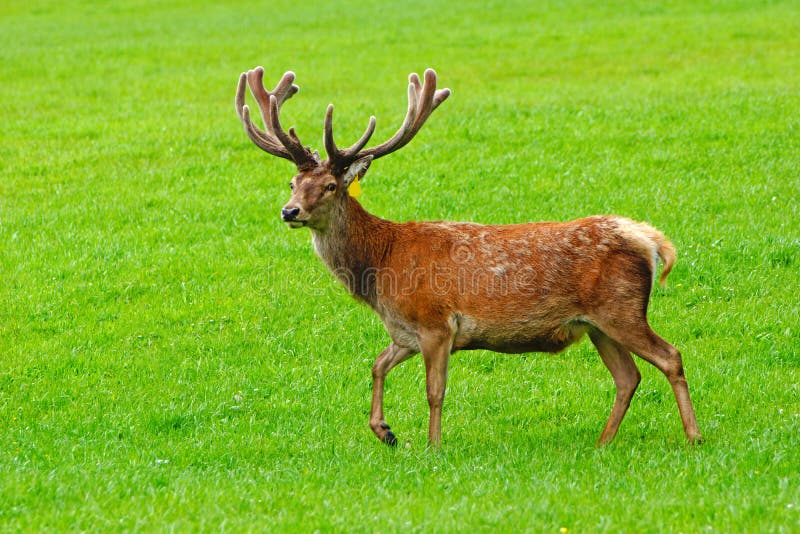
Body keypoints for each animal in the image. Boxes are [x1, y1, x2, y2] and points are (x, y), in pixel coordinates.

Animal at [234, 66, 703, 448]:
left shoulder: (435, 323)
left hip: (621, 309)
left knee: (670, 356)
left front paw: (433, 446)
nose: (290, 211)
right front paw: (385, 431)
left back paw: (693, 436)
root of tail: (650, 240)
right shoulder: (404, 332)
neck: (382, 266)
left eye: (331, 185)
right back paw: (603, 442)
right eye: (293, 182)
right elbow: (376, 365)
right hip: (596, 325)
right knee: (628, 376)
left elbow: (434, 391)